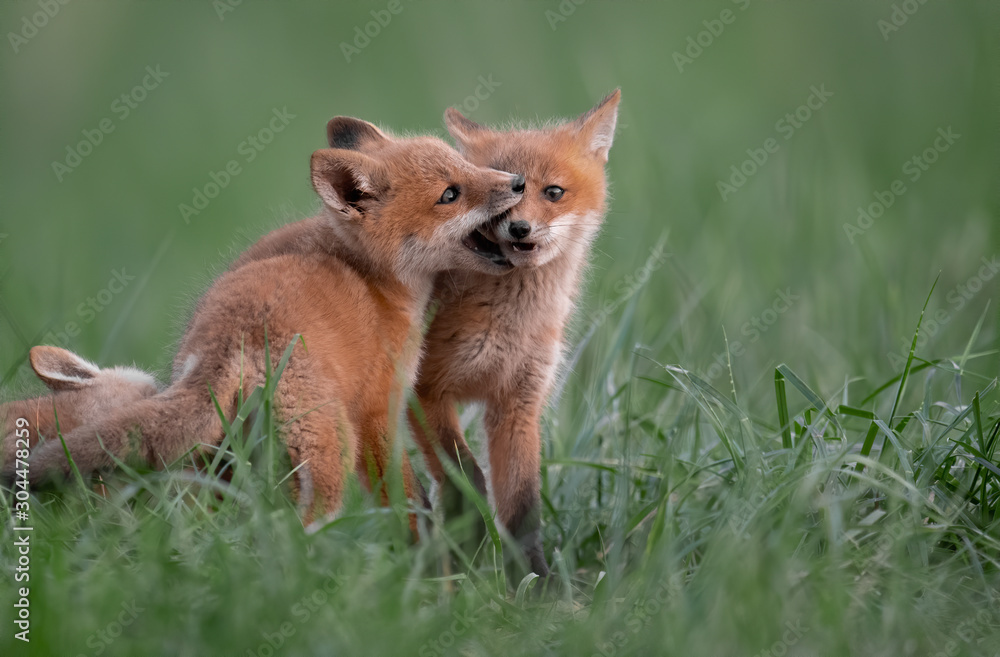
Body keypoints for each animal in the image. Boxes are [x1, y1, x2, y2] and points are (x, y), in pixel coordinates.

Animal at [21, 117, 525, 523]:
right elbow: (407, 498)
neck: (370, 276)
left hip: (220, 455)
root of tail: (231, 338)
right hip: (328, 452)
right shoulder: (378, 408)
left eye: (465, 165)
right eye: (450, 194)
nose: (519, 181)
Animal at [407, 90, 621, 576]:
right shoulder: (424, 392)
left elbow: (522, 505)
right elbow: (464, 474)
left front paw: (535, 582)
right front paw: (467, 553)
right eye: (503, 201)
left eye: (553, 192)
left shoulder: (518, 401)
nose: (519, 227)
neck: (509, 328)